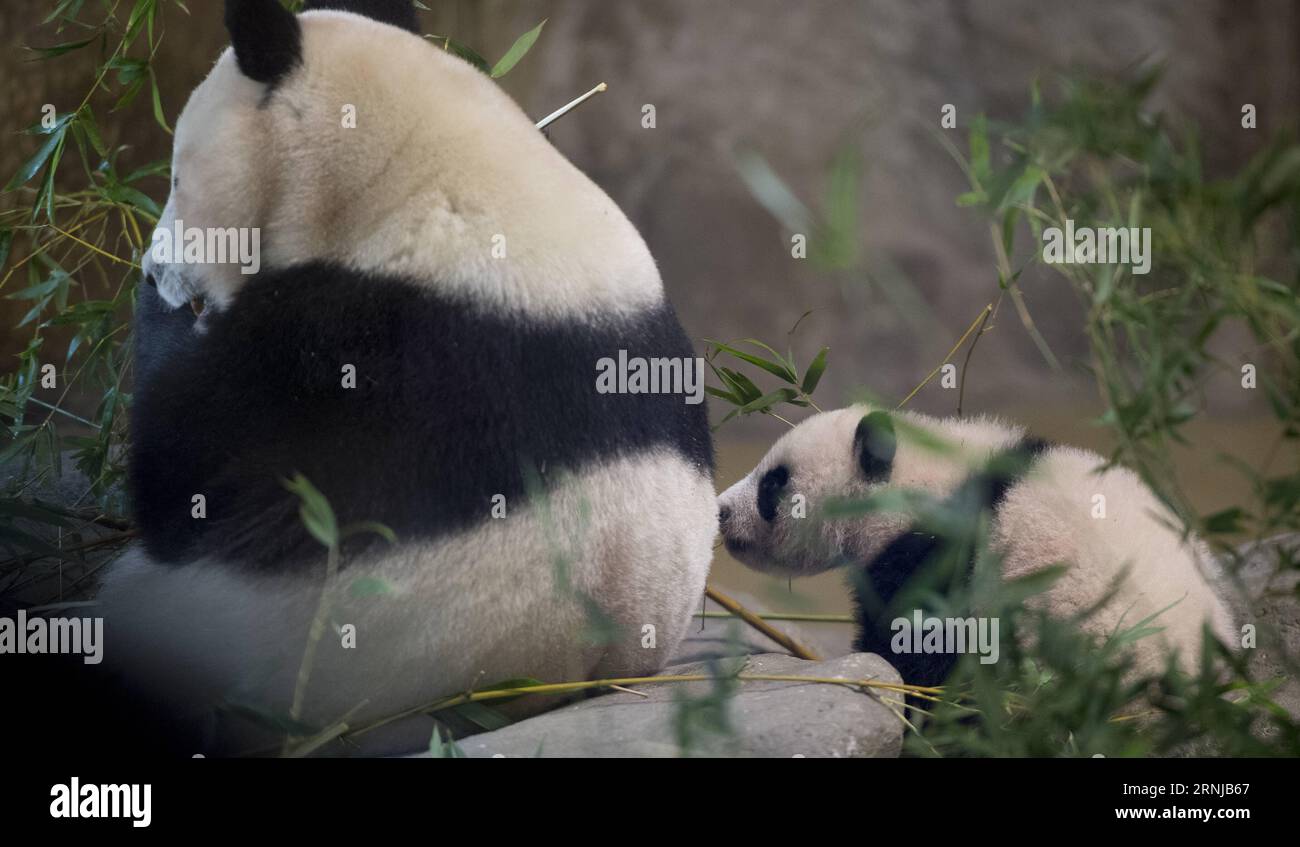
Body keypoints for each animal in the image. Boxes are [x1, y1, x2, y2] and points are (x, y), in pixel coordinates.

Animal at [84, 0, 716, 755]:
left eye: (179, 178)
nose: (158, 269)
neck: (425, 169)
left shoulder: (355, 340)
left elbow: (190, 473)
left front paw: (166, 317)